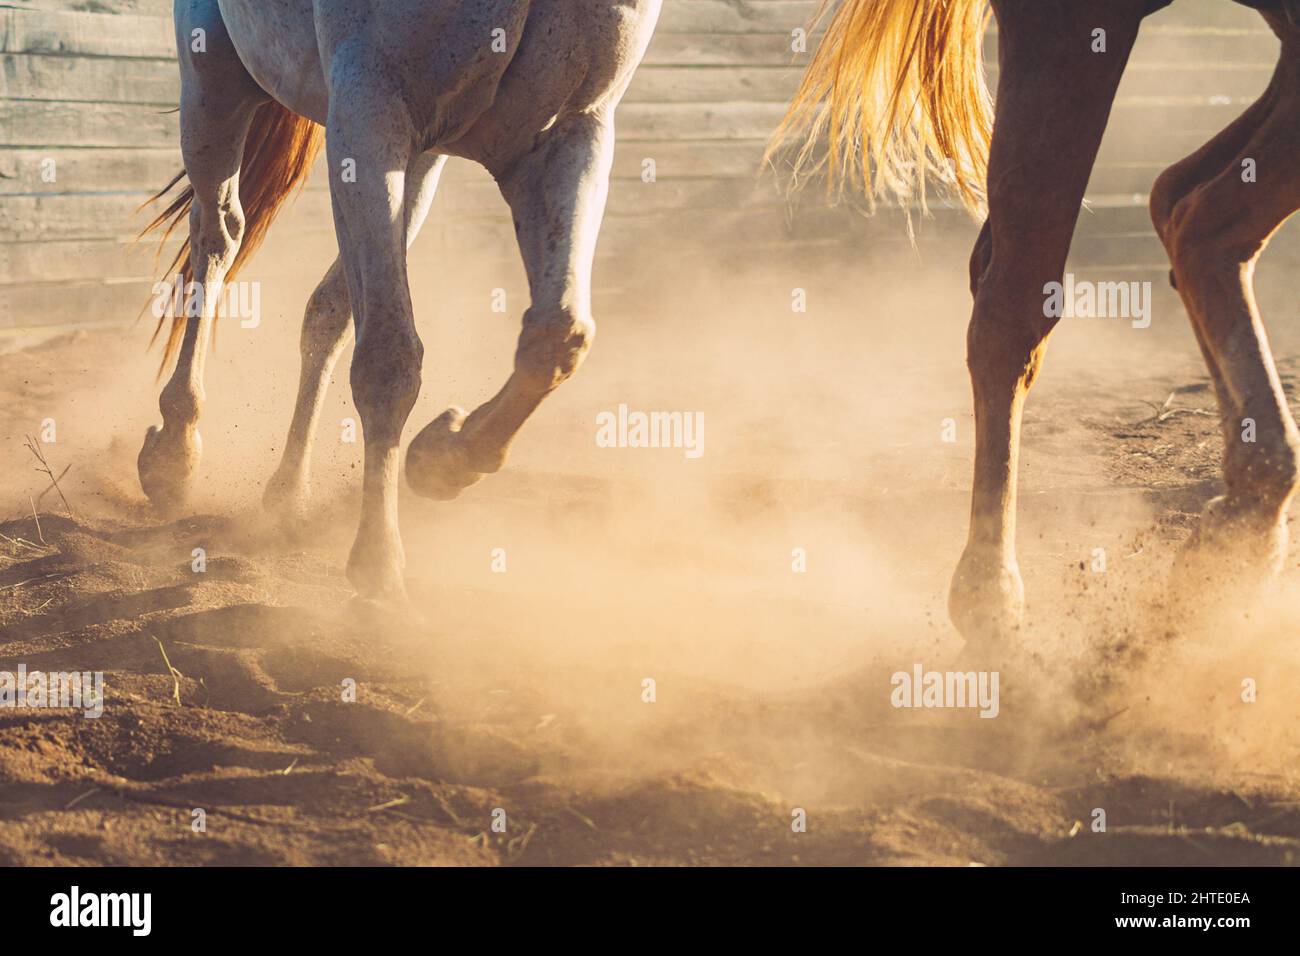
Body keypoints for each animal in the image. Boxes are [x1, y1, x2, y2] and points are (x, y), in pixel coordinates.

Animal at [138, 0, 663, 603]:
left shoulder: (570, 129)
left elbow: (558, 335)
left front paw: (441, 454)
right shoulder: (367, 110)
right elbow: (389, 360)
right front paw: (379, 567)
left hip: (420, 159)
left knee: (328, 309)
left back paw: (289, 493)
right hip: (216, 72)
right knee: (219, 234)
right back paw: (174, 453)